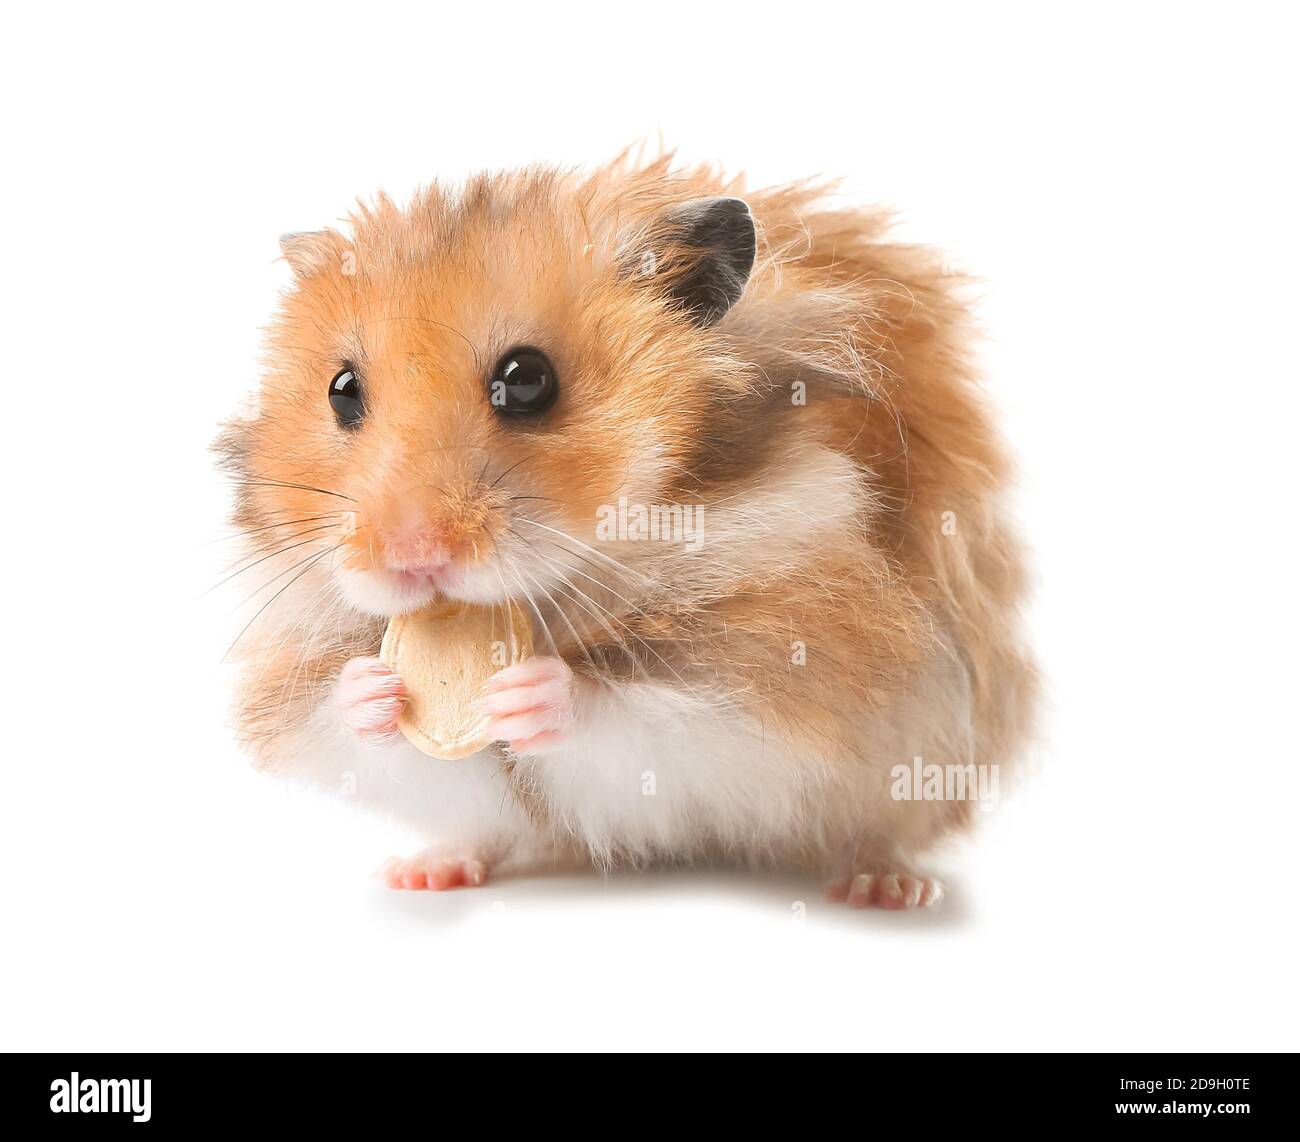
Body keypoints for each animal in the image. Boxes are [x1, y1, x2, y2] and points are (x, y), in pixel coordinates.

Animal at [215, 152, 1037, 908]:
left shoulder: (774, 671)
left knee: (881, 831)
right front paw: (374, 688)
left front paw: (532, 692)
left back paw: (887, 887)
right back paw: (423, 872)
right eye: (341, 390)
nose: (410, 558)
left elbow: (633, 709)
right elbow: (358, 725)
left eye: (527, 380)